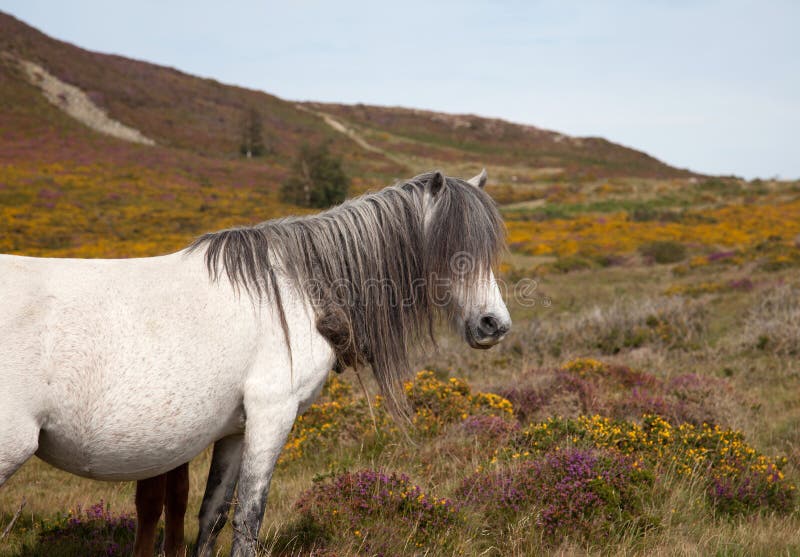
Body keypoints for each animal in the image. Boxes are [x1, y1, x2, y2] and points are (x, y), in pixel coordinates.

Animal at [0, 170, 511, 557]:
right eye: (452, 251)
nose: (495, 324)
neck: (298, 290)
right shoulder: (272, 415)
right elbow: (249, 517)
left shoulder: (233, 429)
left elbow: (213, 516)